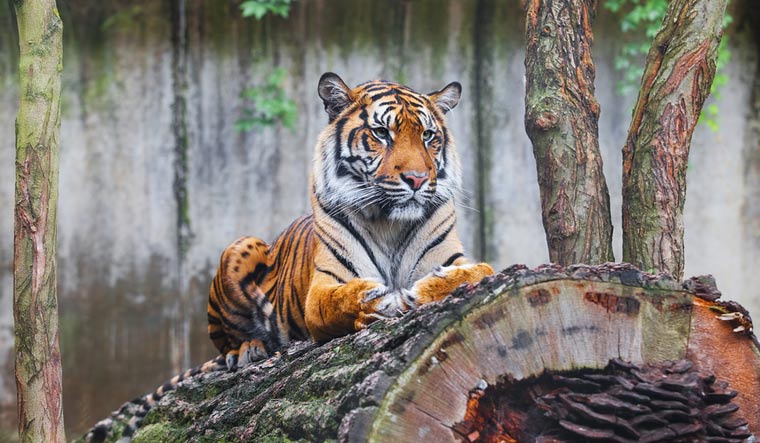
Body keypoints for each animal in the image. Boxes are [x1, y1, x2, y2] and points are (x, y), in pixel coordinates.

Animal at [86, 73, 493, 441]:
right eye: (381, 133)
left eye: (428, 136)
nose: (418, 179)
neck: (389, 223)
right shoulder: (324, 288)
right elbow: (339, 301)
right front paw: (375, 302)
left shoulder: (456, 258)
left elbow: (480, 271)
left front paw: (424, 290)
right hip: (240, 247)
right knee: (224, 341)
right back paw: (248, 350)